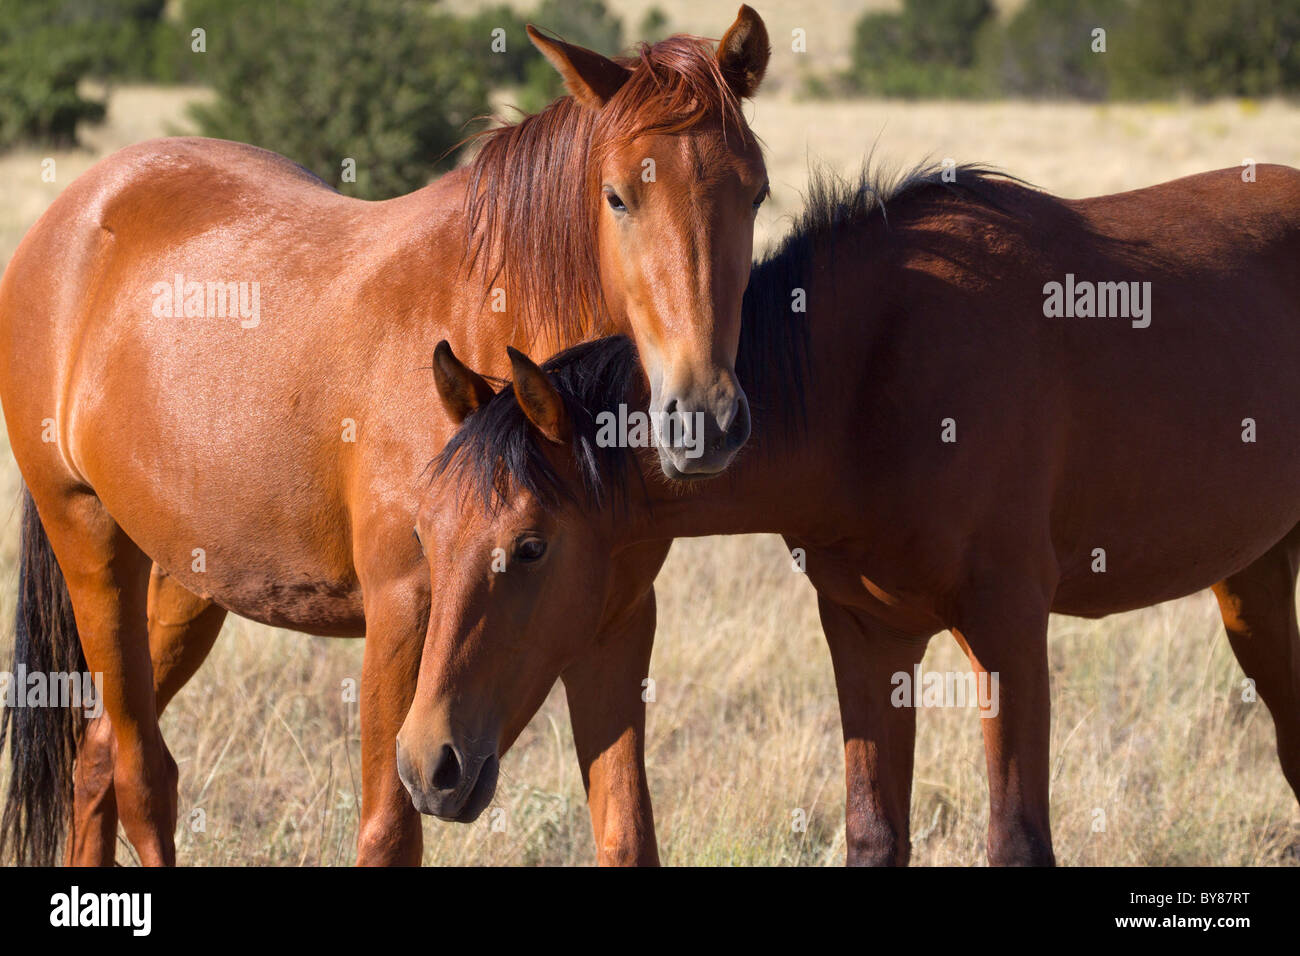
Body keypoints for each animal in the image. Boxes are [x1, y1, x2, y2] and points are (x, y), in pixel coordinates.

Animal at [0, 6, 773, 867]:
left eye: (756, 193)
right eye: (616, 197)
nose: (702, 419)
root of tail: (76, 211)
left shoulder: (614, 627)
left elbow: (628, 834)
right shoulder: (404, 616)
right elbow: (388, 828)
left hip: (185, 578)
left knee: (98, 755)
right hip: (90, 541)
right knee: (140, 774)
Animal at [403, 161, 1300, 865]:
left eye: (530, 547)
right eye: (425, 536)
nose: (426, 766)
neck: (876, 375)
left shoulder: (1008, 628)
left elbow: (1015, 841)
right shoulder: (869, 633)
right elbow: (874, 834)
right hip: (1254, 578)